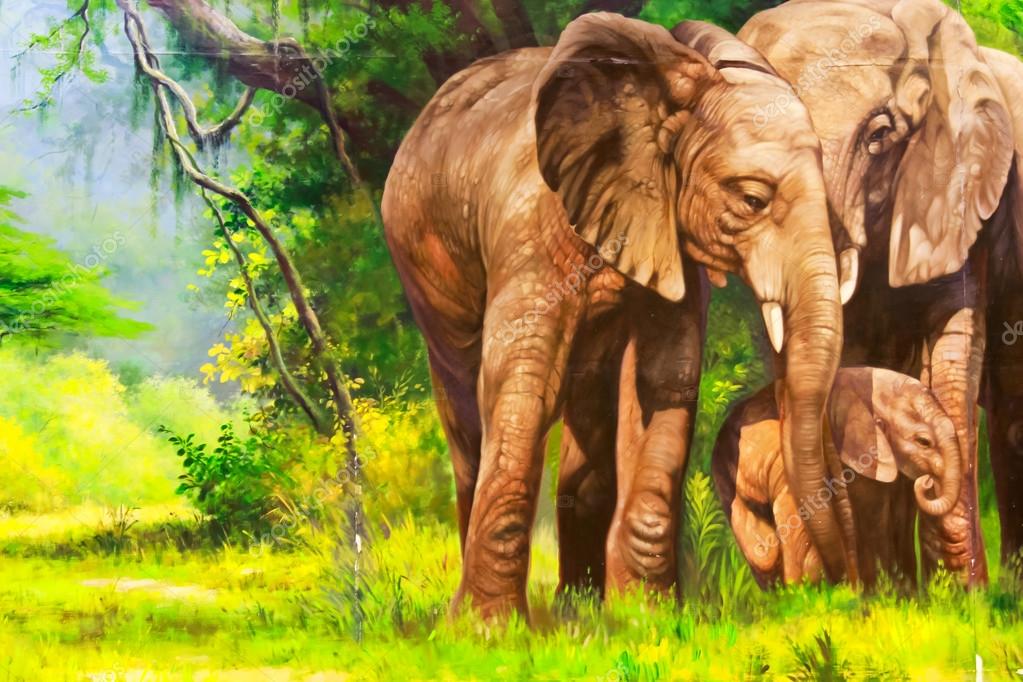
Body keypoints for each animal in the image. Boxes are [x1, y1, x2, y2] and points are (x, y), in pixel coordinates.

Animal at [382, 13, 844, 618]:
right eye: (751, 201)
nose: (838, 585)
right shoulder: (528, 234)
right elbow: (523, 385)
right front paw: (486, 630)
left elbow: (664, 381)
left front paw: (645, 617)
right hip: (423, 258)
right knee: (464, 406)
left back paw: (578, 611)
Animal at [737, 0, 1023, 584]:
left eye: (879, 136)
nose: (841, 580)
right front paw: (878, 592)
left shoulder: (961, 197)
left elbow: (953, 354)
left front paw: (964, 593)